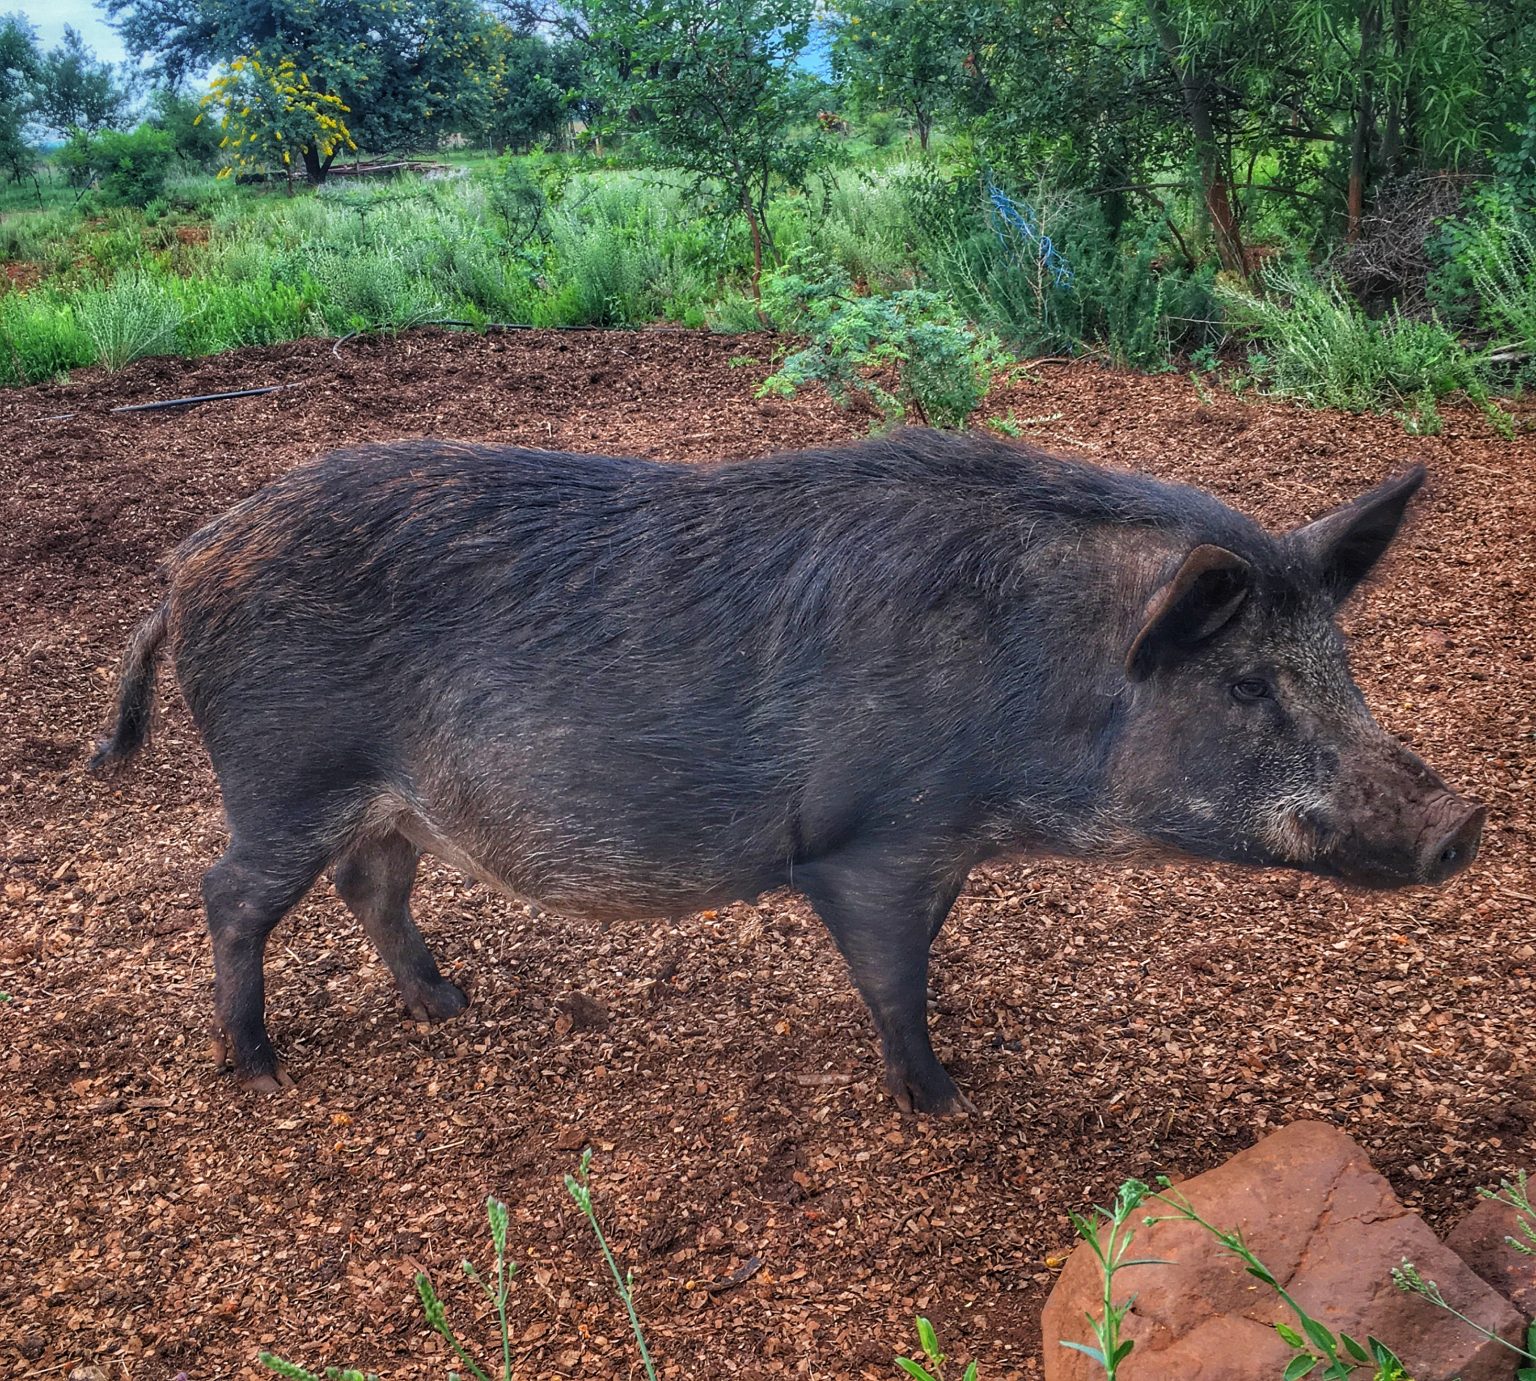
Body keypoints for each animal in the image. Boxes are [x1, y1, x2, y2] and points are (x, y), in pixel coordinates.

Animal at [92, 430, 1484, 1111]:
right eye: (1247, 685)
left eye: (1342, 660)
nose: (1464, 819)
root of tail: (184, 562)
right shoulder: (868, 842)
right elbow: (893, 980)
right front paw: (947, 1102)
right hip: (285, 771)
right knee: (228, 892)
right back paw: (259, 1068)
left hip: (384, 796)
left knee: (371, 887)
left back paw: (451, 1006)